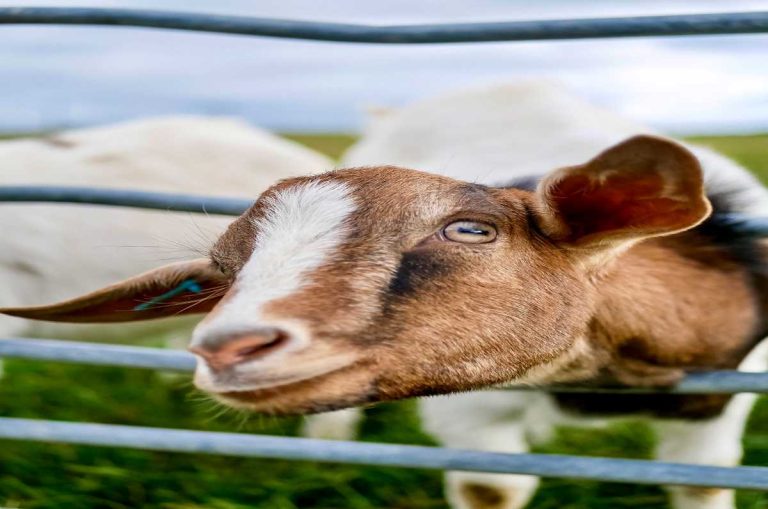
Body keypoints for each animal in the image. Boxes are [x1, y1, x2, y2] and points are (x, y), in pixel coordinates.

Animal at [3, 84, 767, 509]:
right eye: (224, 270)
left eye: (471, 228)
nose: (230, 346)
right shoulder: (472, 407)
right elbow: (493, 487)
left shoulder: (720, 401)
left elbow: (700, 483)